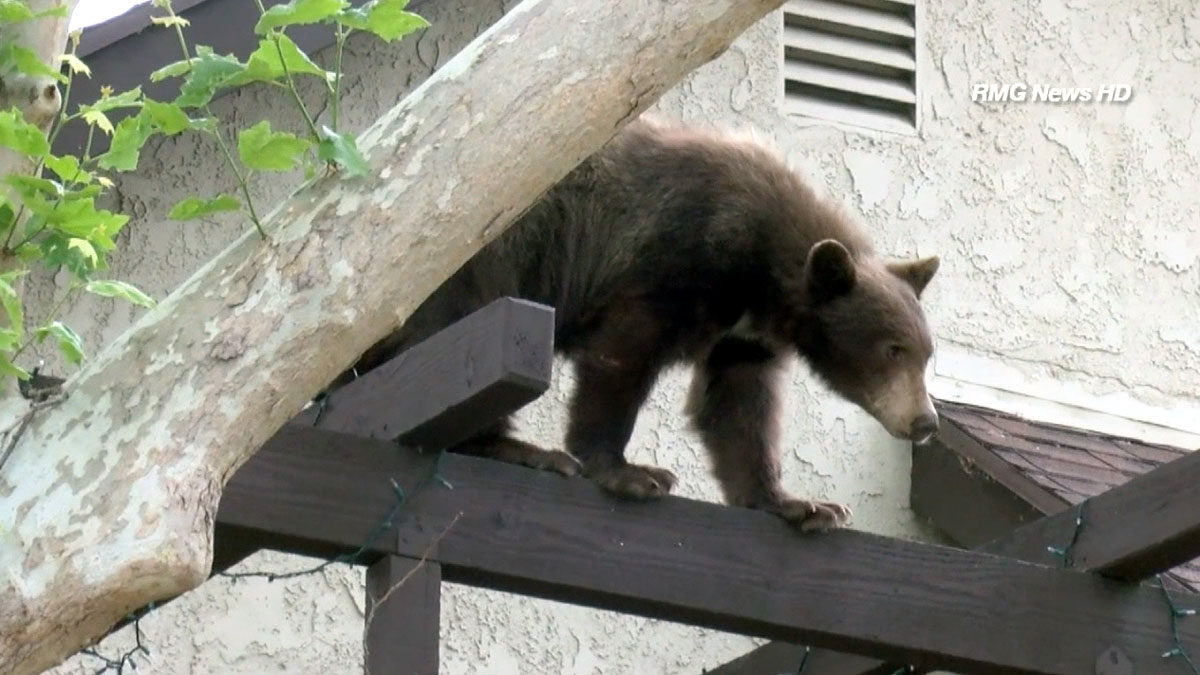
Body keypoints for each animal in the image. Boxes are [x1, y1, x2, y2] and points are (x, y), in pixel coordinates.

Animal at [333, 116, 940, 532]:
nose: (925, 421)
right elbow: (621, 358)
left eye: (925, 354)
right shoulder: (670, 258)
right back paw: (525, 450)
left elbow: (739, 408)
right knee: (452, 343)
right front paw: (633, 471)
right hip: (474, 261)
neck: (758, 269)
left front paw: (801, 503)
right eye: (893, 349)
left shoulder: (741, 336)